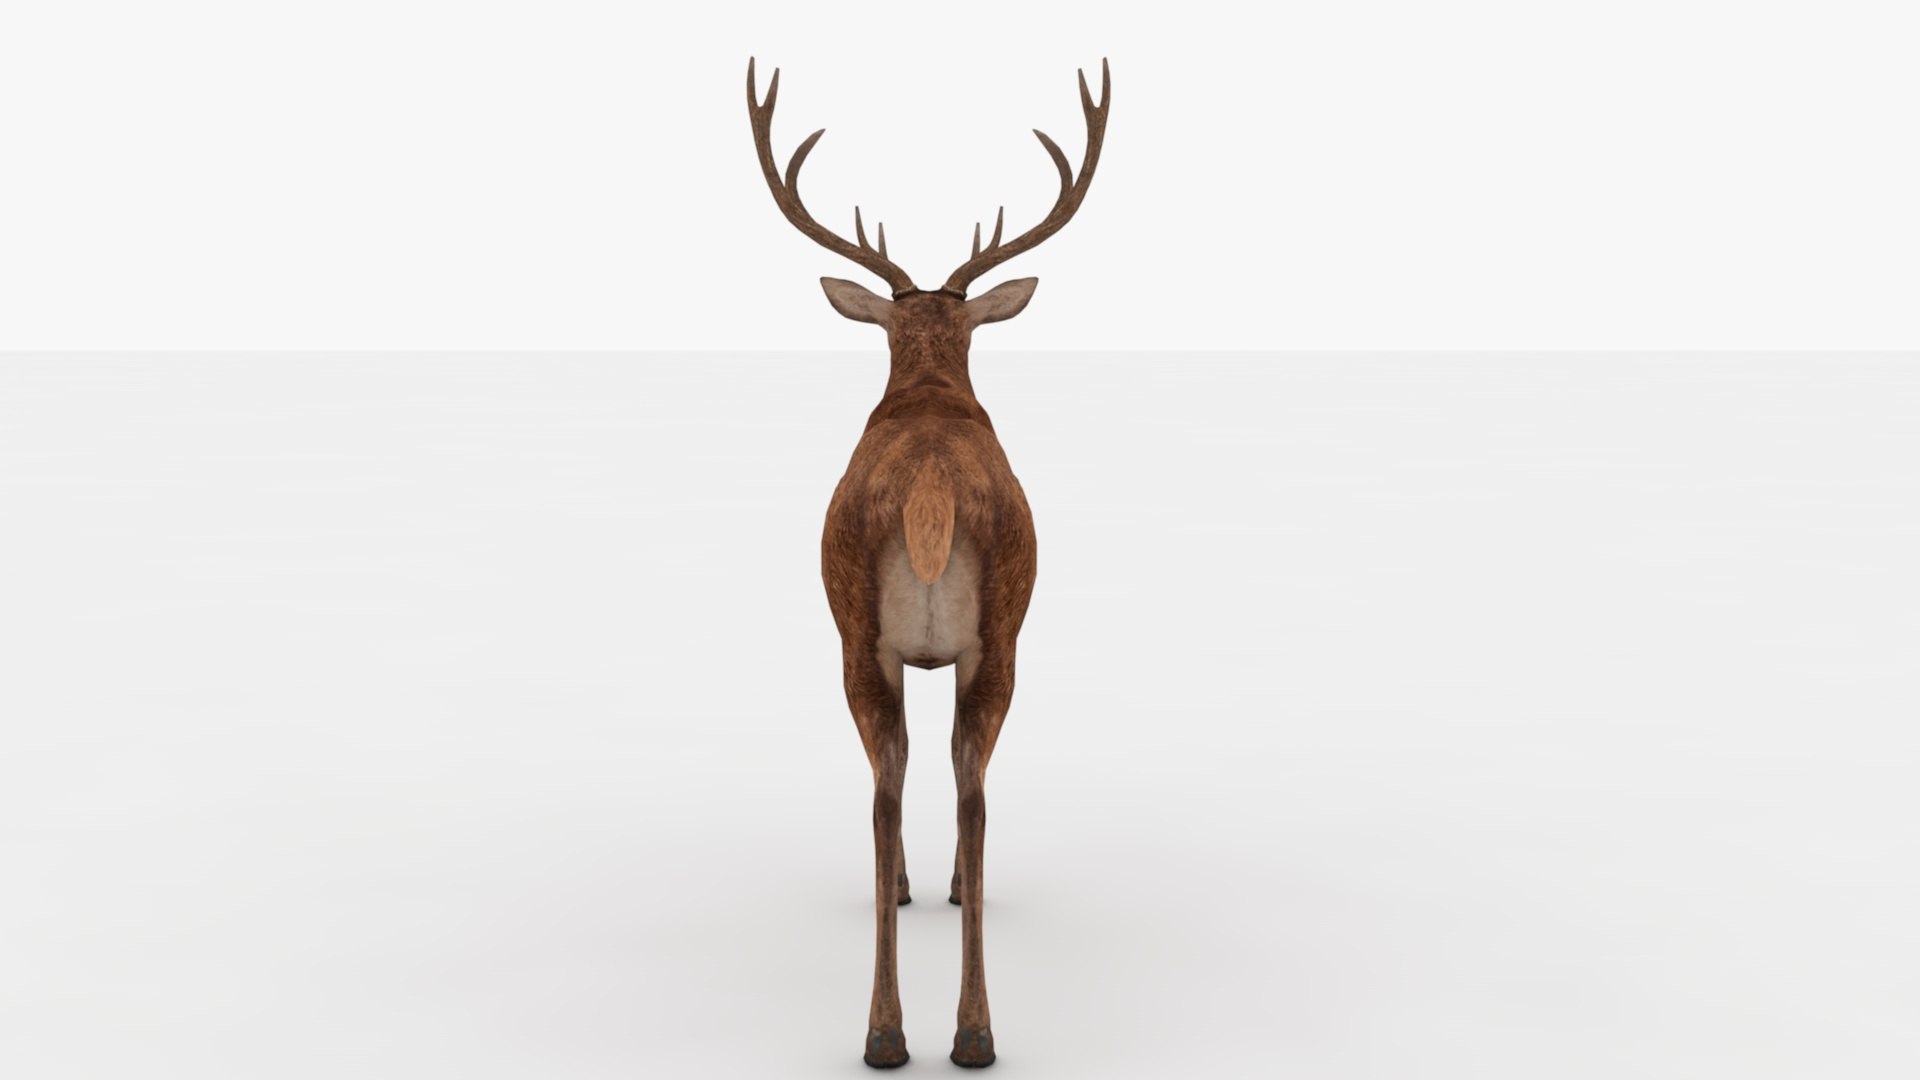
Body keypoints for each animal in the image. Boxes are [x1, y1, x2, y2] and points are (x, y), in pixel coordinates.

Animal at [745, 57, 1110, 1068]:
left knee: (908, 789)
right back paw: (948, 1030)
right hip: (987, 634)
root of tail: (932, 491)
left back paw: (909, 1031)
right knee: (952, 789)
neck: (930, 395)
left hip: (867, 632)